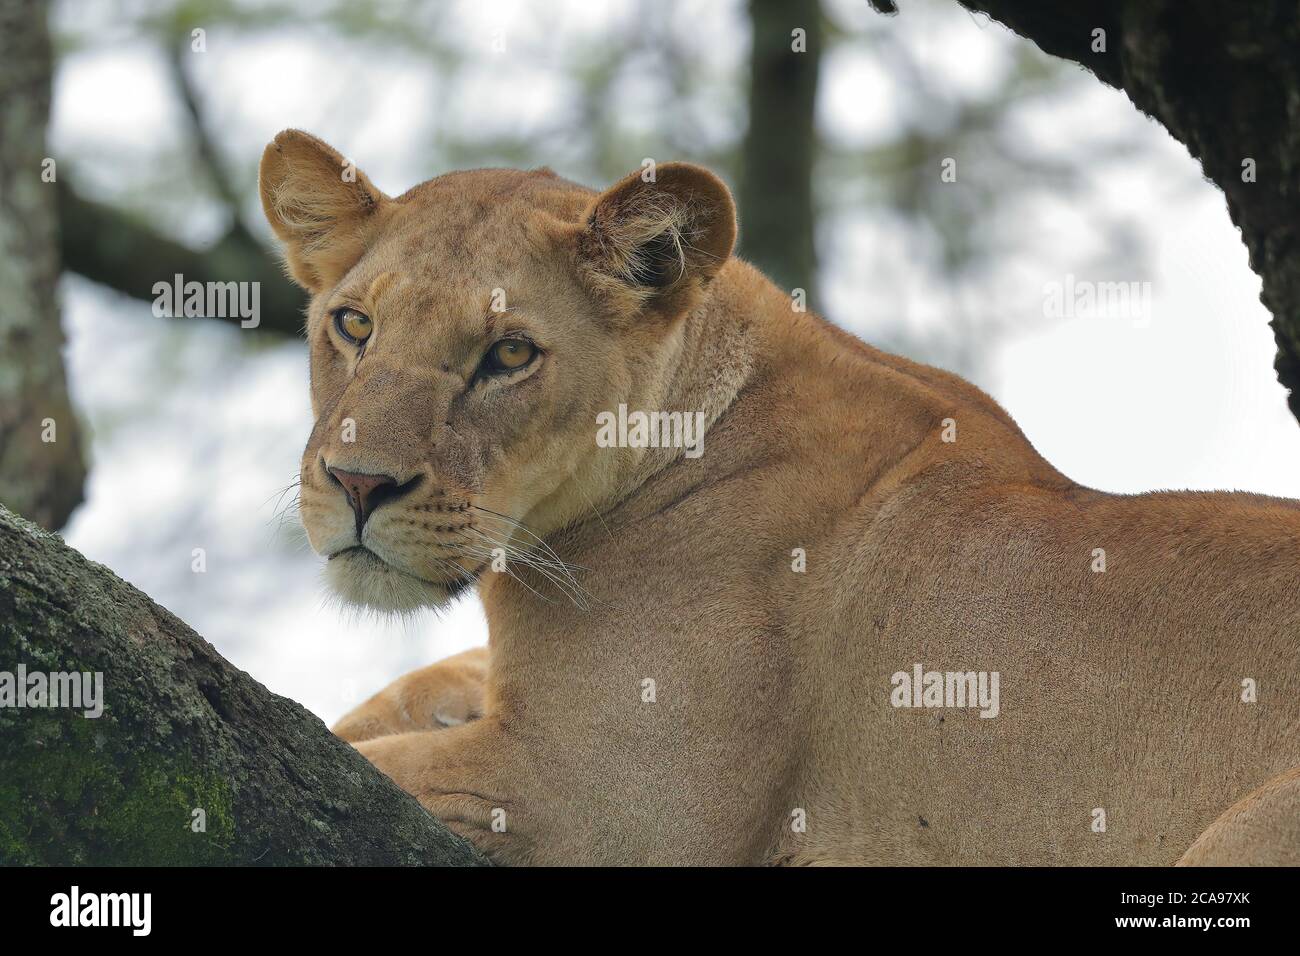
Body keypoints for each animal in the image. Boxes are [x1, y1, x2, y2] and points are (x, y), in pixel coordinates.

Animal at [259, 129, 1300, 865]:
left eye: (509, 354)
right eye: (353, 326)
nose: (357, 482)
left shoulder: (601, 803)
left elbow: (372, 758)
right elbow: (389, 703)